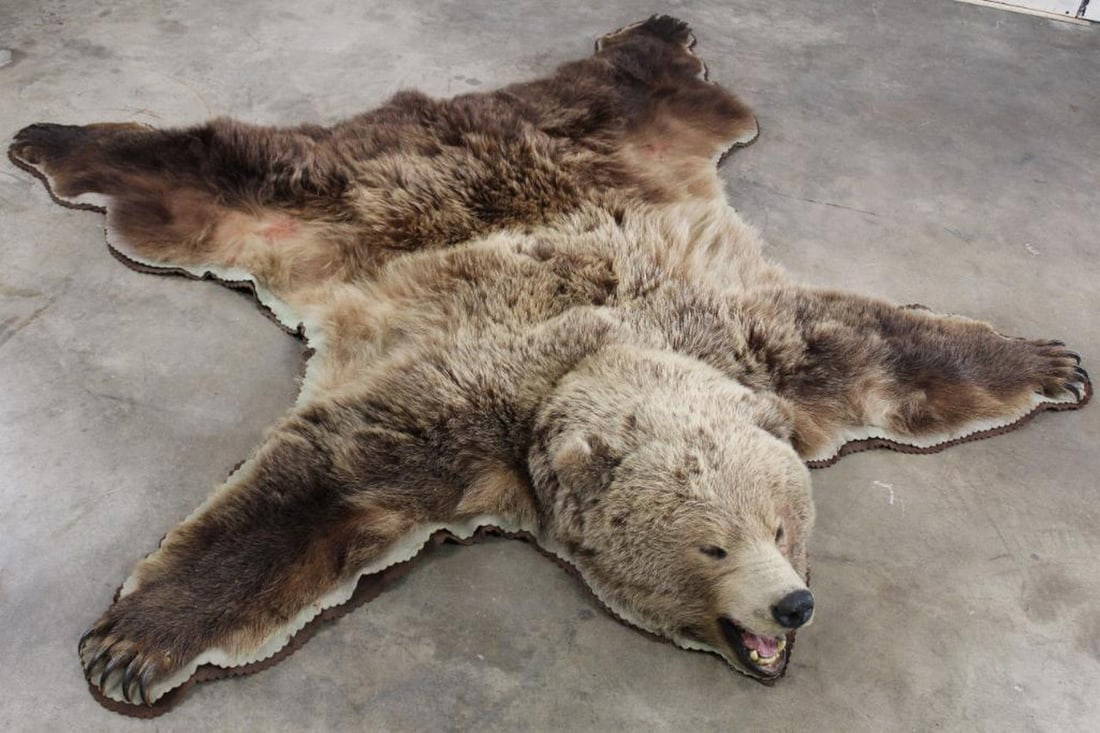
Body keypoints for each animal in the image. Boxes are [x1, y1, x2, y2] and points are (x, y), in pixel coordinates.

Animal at [8, 15, 1089, 709]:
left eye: (783, 522)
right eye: (714, 546)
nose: (794, 603)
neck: (612, 346)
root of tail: (448, 113)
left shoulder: (767, 348)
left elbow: (889, 345)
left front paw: (1054, 361)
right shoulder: (457, 401)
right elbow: (315, 482)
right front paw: (131, 644)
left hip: (622, 144)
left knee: (665, 95)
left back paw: (660, 28)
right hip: (330, 193)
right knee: (217, 163)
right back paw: (47, 133)